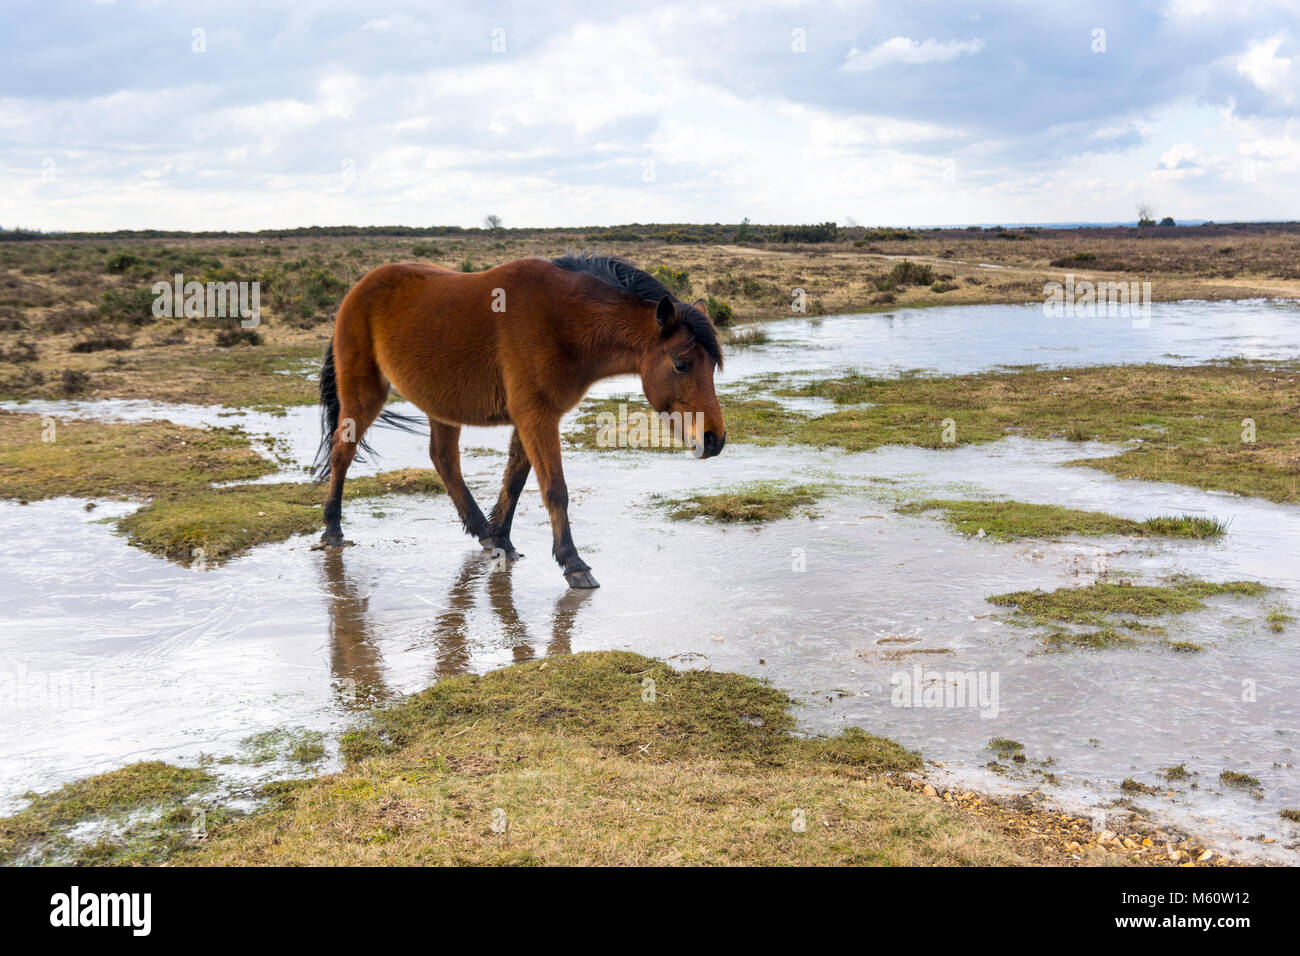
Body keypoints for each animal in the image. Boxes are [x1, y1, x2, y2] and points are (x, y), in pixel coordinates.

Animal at [313, 253, 726, 589]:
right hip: (362, 394)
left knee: (444, 459)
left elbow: (515, 479)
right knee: (342, 453)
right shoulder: (535, 415)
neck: (562, 319)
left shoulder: (533, 417)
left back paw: (480, 529)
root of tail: (358, 289)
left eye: (712, 365)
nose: (714, 439)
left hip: (440, 405)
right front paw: (573, 563)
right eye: (682, 363)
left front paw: (501, 539)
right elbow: (554, 489)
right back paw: (332, 529)